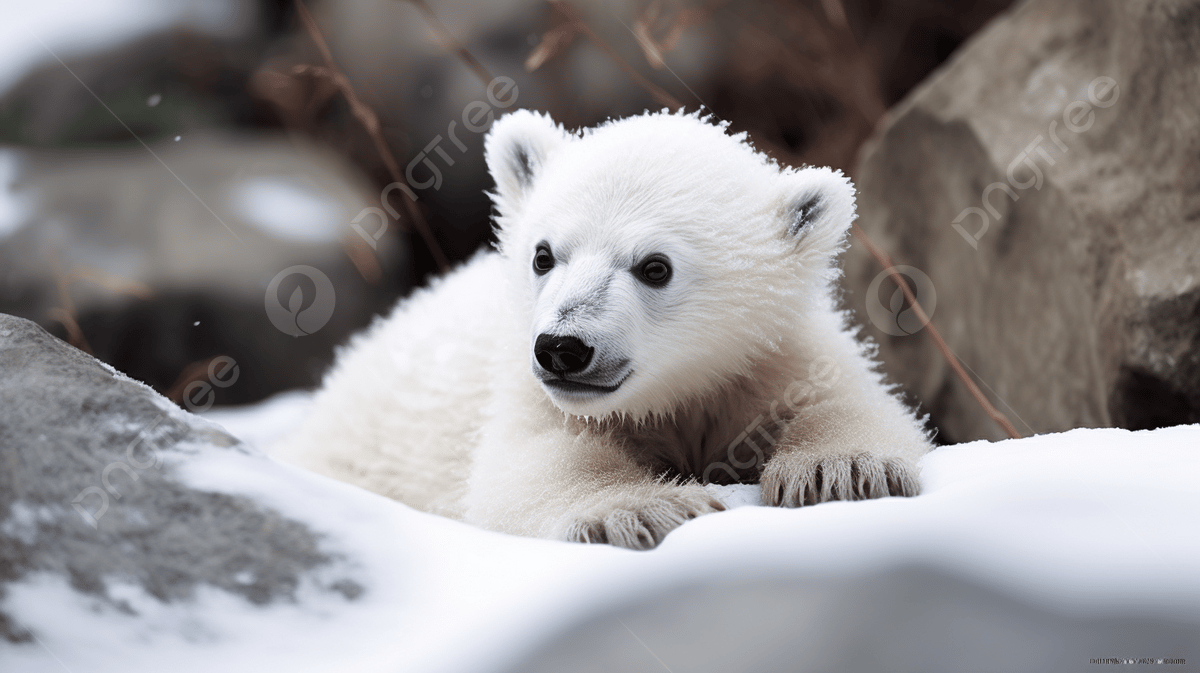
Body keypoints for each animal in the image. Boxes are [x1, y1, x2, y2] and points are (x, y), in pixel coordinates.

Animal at [275, 109, 932, 550]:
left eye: (655, 267)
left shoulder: (772, 354)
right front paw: (644, 511)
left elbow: (849, 399)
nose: (563, 349)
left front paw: (838, 471)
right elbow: (532, 461)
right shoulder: (524, 390)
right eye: (543, 255)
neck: (672, 395)